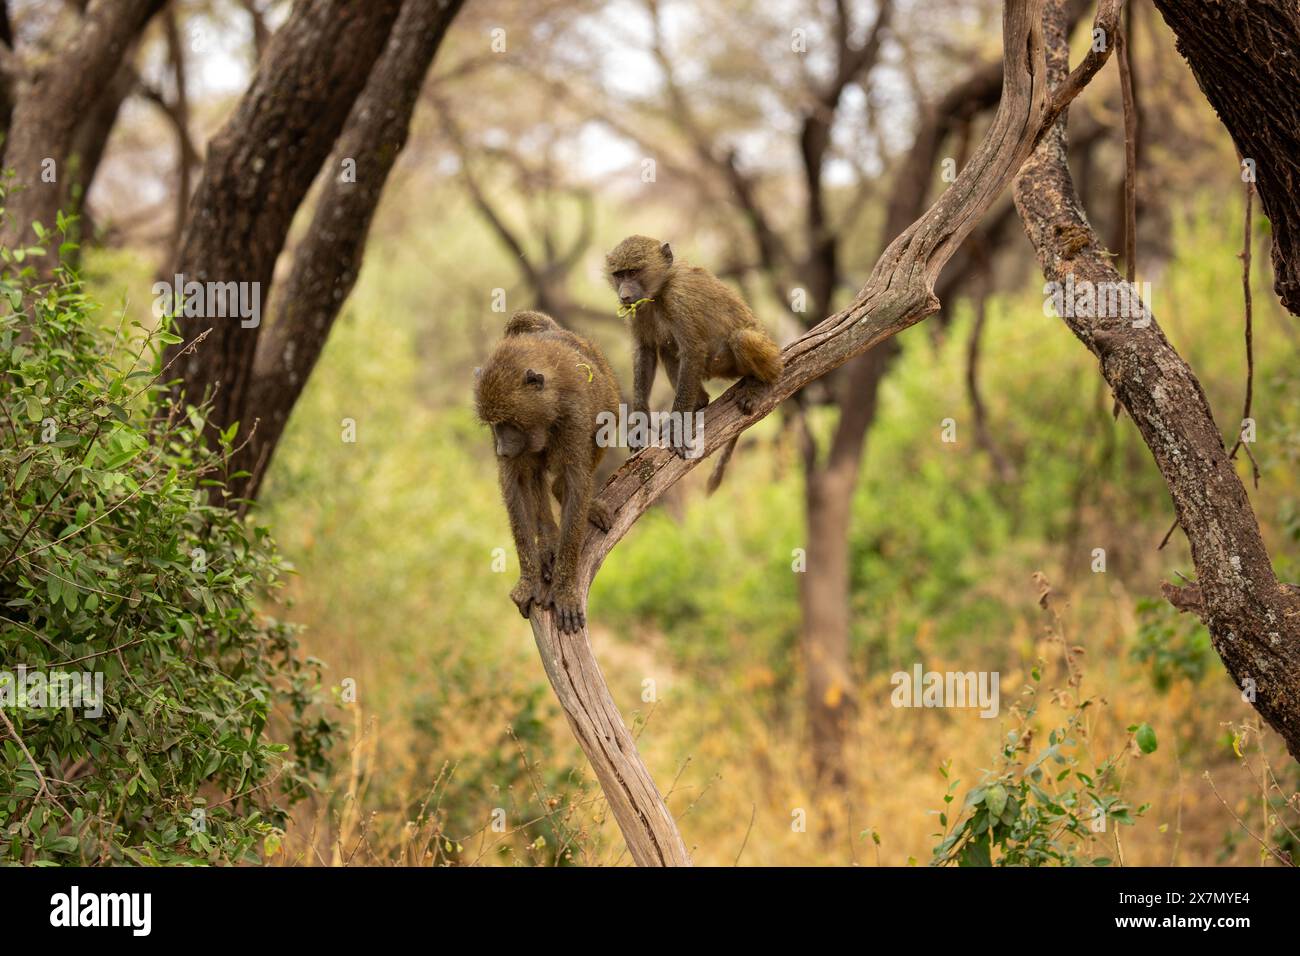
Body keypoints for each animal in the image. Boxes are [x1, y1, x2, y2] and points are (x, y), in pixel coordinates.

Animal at [475, 310, 620, 633]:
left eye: (509, 423)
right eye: (495, 424)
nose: (502, 448)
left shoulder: (574, 415)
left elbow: (576, 482)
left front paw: (564, 590)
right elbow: (516, 482)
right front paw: (529, 581)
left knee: (602, 431)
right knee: (536, 476)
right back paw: (549, 539)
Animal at [604, 235, 783, 462]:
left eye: (634, 272)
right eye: (619, 275)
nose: (624, 296)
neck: (659, 291)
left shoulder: (678, 299)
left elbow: (692, 351)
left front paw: (677, 430)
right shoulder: (639, 310)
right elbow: (646, 351)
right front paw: (640, 425)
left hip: (760, 356)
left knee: (743, 339)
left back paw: (762, 384)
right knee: (667, 349)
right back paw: (699, 402)